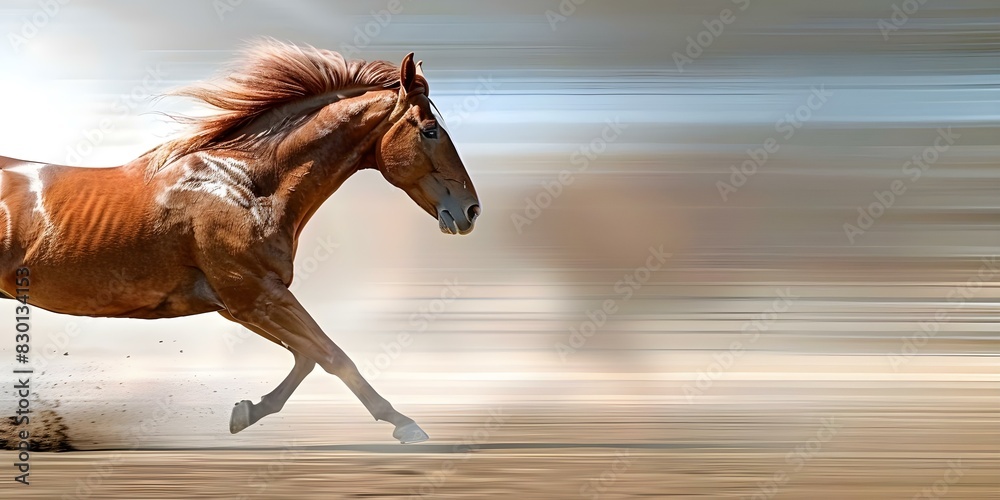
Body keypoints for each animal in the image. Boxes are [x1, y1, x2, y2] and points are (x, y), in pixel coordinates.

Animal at [0, 40, 481, 444]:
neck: (245, 185)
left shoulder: (237, 304)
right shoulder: (255, 294)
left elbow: (308, 357)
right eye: (430, 130)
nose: (471, 211)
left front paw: (246, 411)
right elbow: (333, 355)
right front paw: (406, 424)